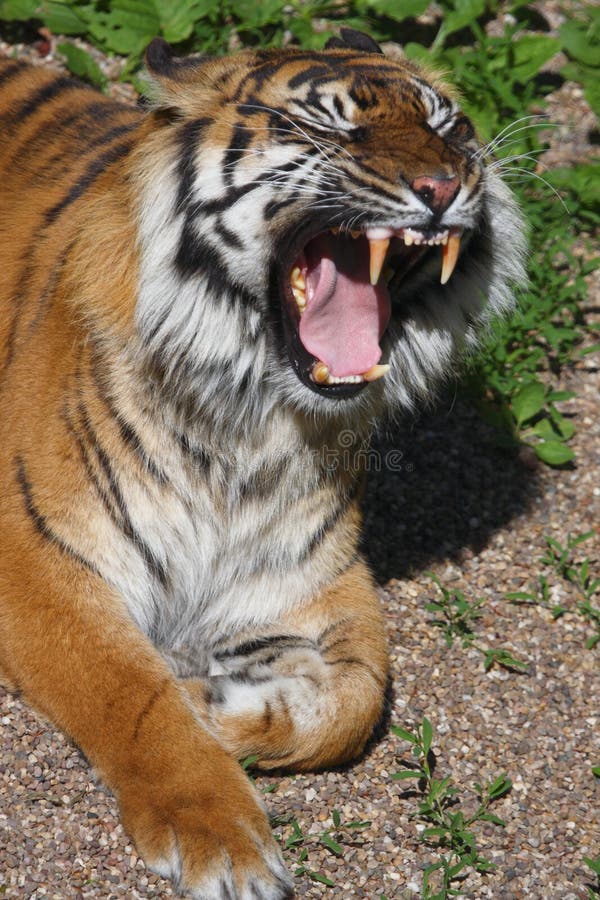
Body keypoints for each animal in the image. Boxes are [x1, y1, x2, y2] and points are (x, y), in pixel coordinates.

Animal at [0, 27, 526, 899]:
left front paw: (212, 698)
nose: (444, 185)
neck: (253, 425)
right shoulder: (36, 560)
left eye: (447, 126)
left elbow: (356, 700)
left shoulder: (310, 577)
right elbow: (130, 693)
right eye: (334, 126)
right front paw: (224, 841)